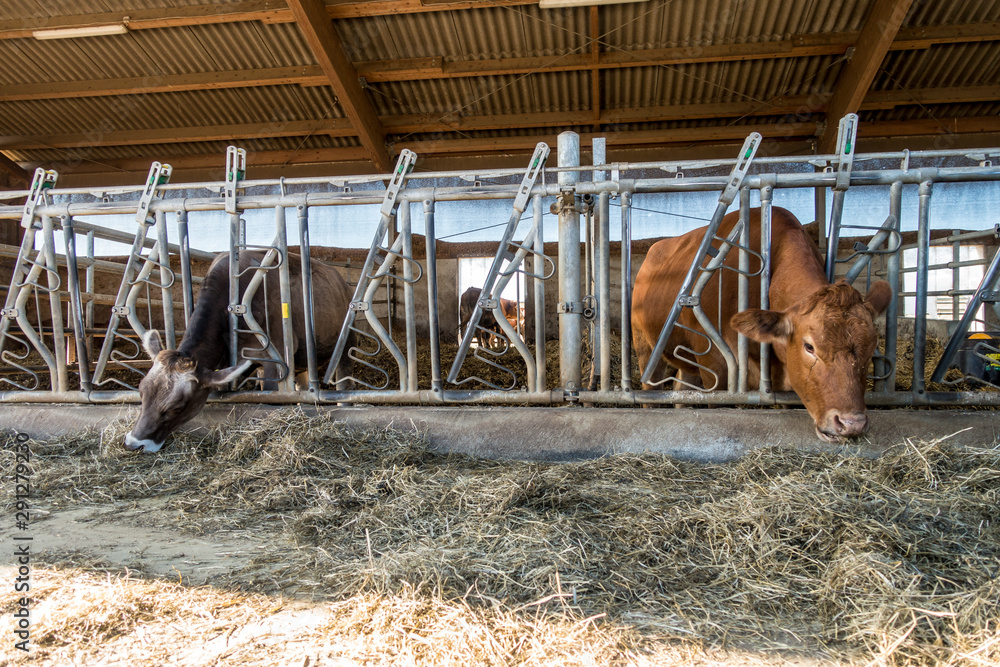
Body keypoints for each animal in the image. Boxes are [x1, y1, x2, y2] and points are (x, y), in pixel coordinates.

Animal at [124, 251, 353, 453]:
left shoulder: (274, 358)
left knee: (344, 376)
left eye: (176, 407)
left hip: (345, 341)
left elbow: (269, 398)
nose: (134, 443)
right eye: (141, 392)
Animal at [631, 207, 892, 443]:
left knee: (681, 390)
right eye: (809, 347)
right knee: (650, 391)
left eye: (871, 350)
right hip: (644, 343)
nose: (851, 423)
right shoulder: (716, 366)